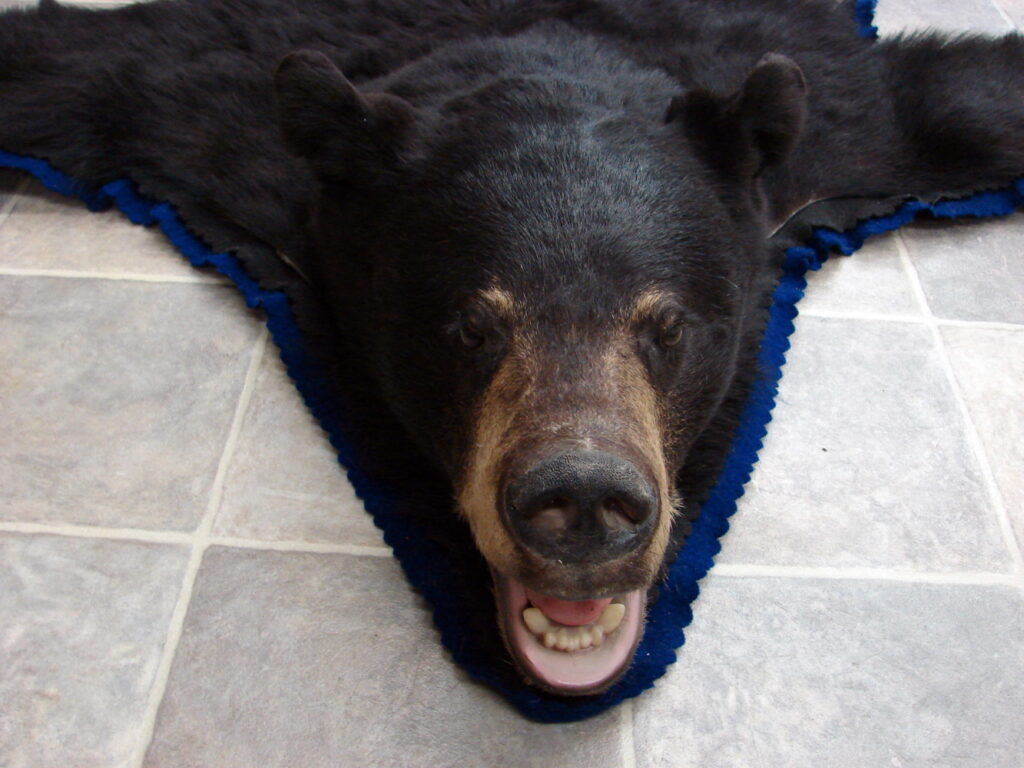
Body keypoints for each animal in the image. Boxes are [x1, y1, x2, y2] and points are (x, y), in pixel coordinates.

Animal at [0, 0, 1022, 700]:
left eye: (667, 326)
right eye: (469, 327)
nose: (585, 500)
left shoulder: (842, 123)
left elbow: (961, 99)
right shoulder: (205, 109)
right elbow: (73, 67)